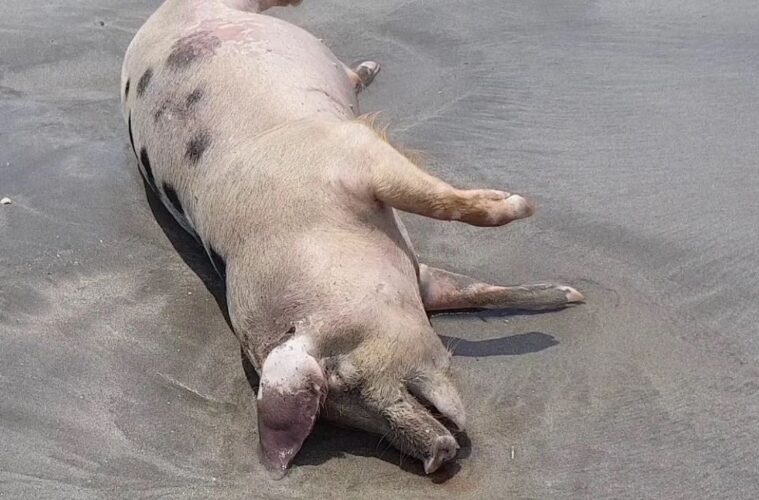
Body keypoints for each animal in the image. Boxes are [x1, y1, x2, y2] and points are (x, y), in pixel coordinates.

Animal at [121, 0, 584, 476]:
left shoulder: (352, 154)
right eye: (340, 408)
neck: (306, 230)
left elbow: (443, 208)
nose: (436, 456)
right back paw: (369, 67)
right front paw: (572, 295)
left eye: (339, 373)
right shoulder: (416, 274)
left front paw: (527, 214)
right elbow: (470, 290)